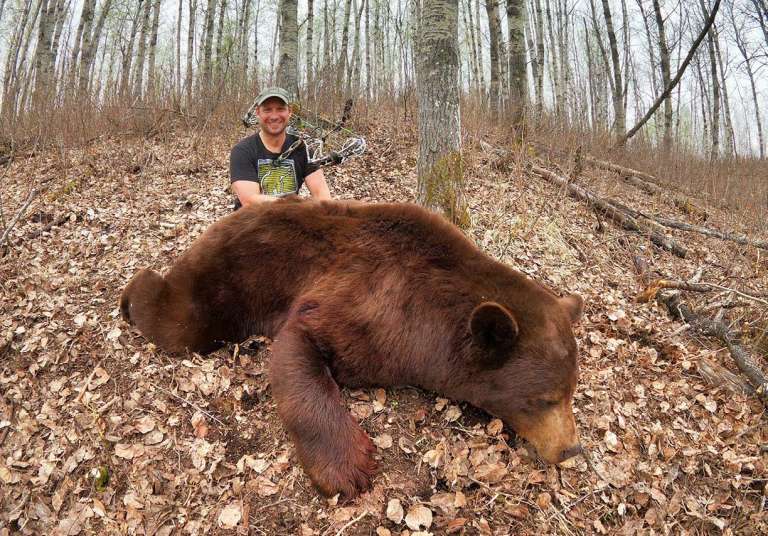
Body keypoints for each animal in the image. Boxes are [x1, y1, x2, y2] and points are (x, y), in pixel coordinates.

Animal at [120, 198, 584, 498]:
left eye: (570, 393)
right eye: (544, 399)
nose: (571, 449)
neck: (433, 323)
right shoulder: (374, 308)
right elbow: (301, 341)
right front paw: (350, 468)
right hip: (229, 277)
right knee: (179, 322)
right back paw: (133, 290)